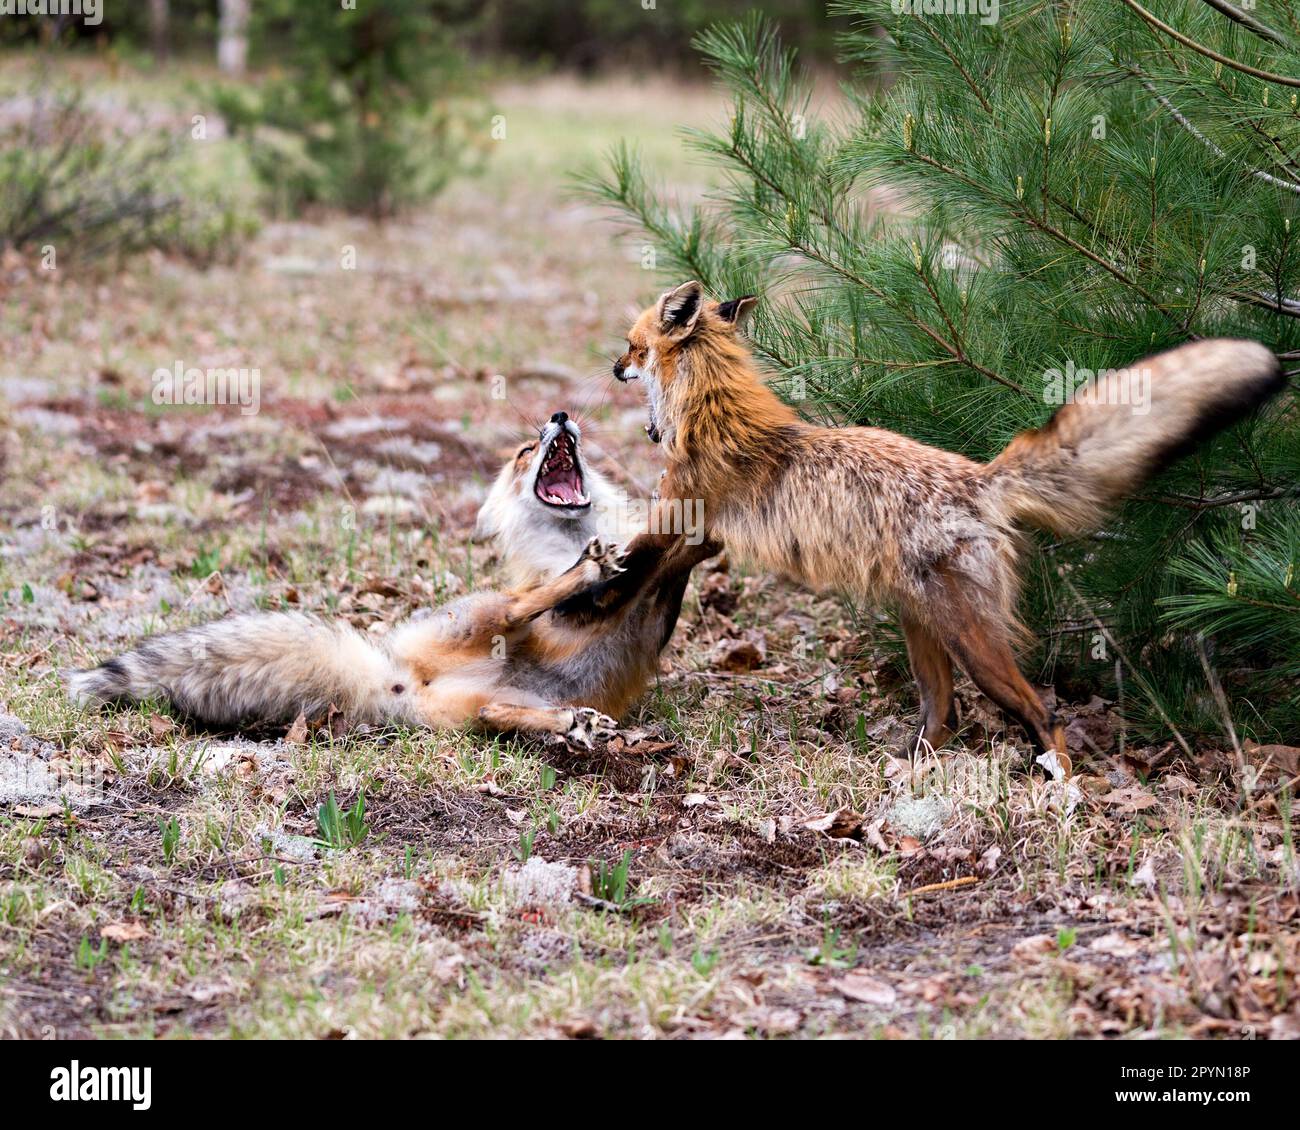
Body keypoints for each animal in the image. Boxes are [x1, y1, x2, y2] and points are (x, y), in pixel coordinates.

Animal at [67, 412, 718, 745]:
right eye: (523, 451)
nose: (559, 416)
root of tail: (391, 678)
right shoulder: (583, 605)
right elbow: (643, 555)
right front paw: (668, 514)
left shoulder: (655, 607)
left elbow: (674, 563)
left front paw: (699, 525)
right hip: (485, 618)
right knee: (517, 610)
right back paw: (583, 581)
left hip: (492, 705)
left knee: (495, 715)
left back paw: (571, 722)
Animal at [608, 280, 1287, 770]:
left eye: (633, 346)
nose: (613, 367)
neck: (713, 412)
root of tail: (979, 479)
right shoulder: (695, 535)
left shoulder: (673, 520)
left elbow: (620, 563)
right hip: (924, 631)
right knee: (945, 715)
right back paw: (909, 769)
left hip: (972, 641)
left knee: (1044, 716)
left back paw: (1059, 793)